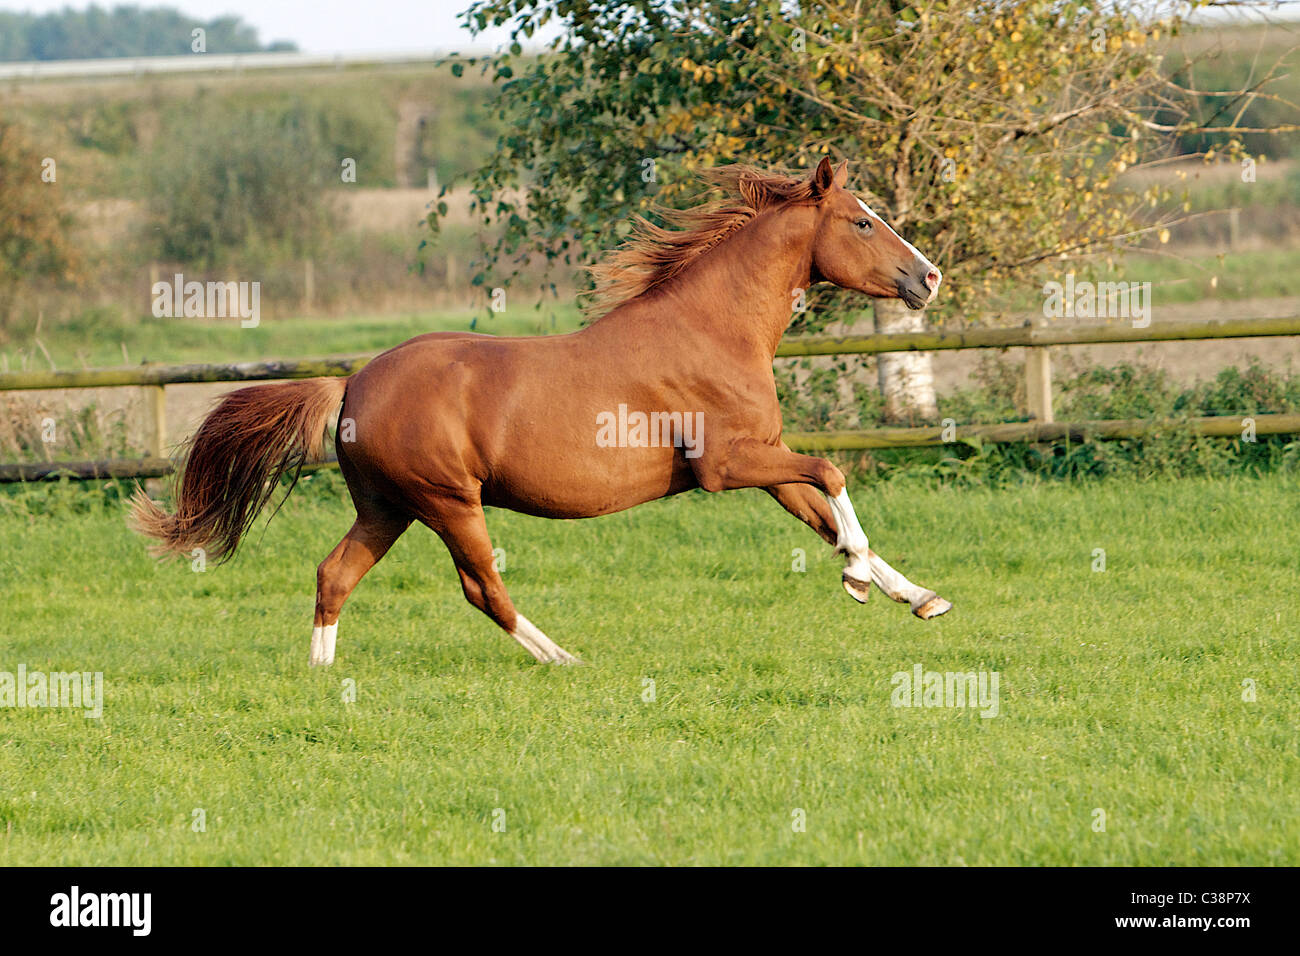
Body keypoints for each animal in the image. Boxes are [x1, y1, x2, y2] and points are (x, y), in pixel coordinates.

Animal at [130, 157, 951, 667]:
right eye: (861, 222)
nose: (930, 277)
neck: (715, 328)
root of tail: (353, 384)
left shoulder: (765, 461)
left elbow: (825, 515)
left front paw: (919, 597)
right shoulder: (727, 465)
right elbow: (833, 474)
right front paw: (858, 579)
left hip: (388, 507)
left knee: (335, 576)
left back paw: (322, 678)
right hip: (447, 502)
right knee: (482, 589)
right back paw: (564, 657)